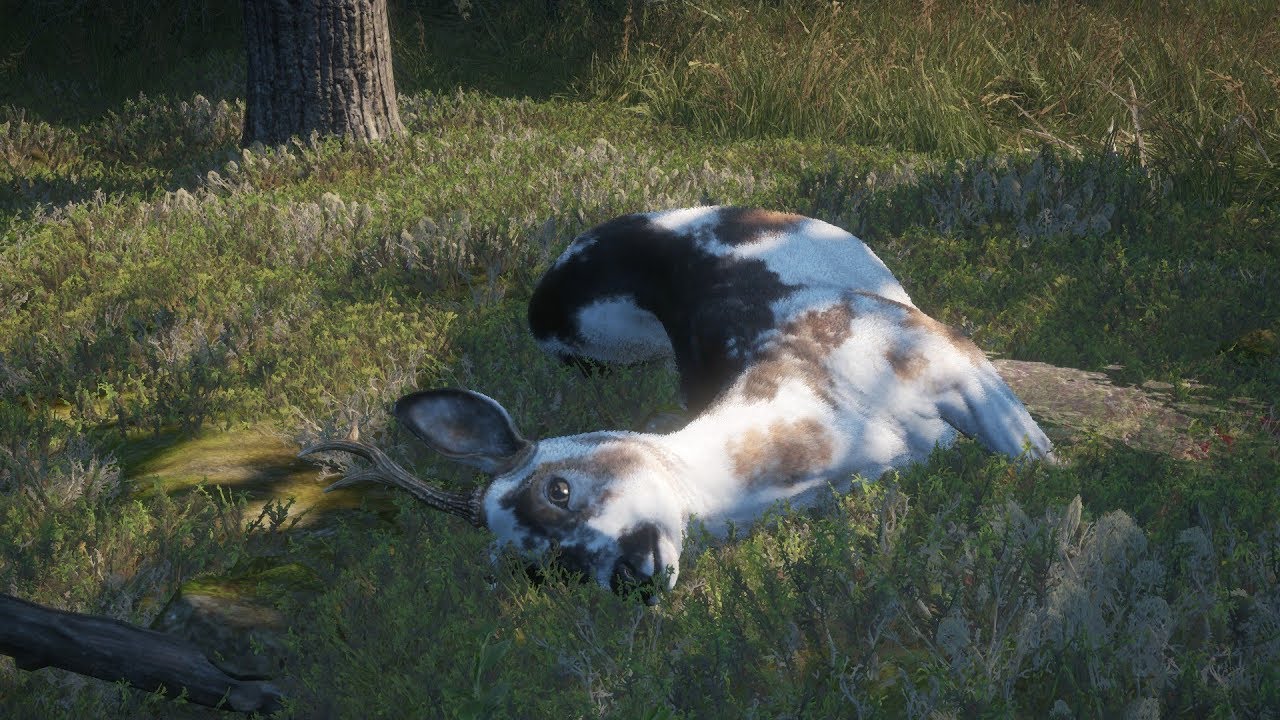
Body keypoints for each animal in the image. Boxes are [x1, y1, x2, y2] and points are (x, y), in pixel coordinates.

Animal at [302, 206, 1054, 605]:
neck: (848, 423)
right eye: (545, 572)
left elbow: (1032, 458)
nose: (630, 575)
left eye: (558, 487)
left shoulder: (944, 353)